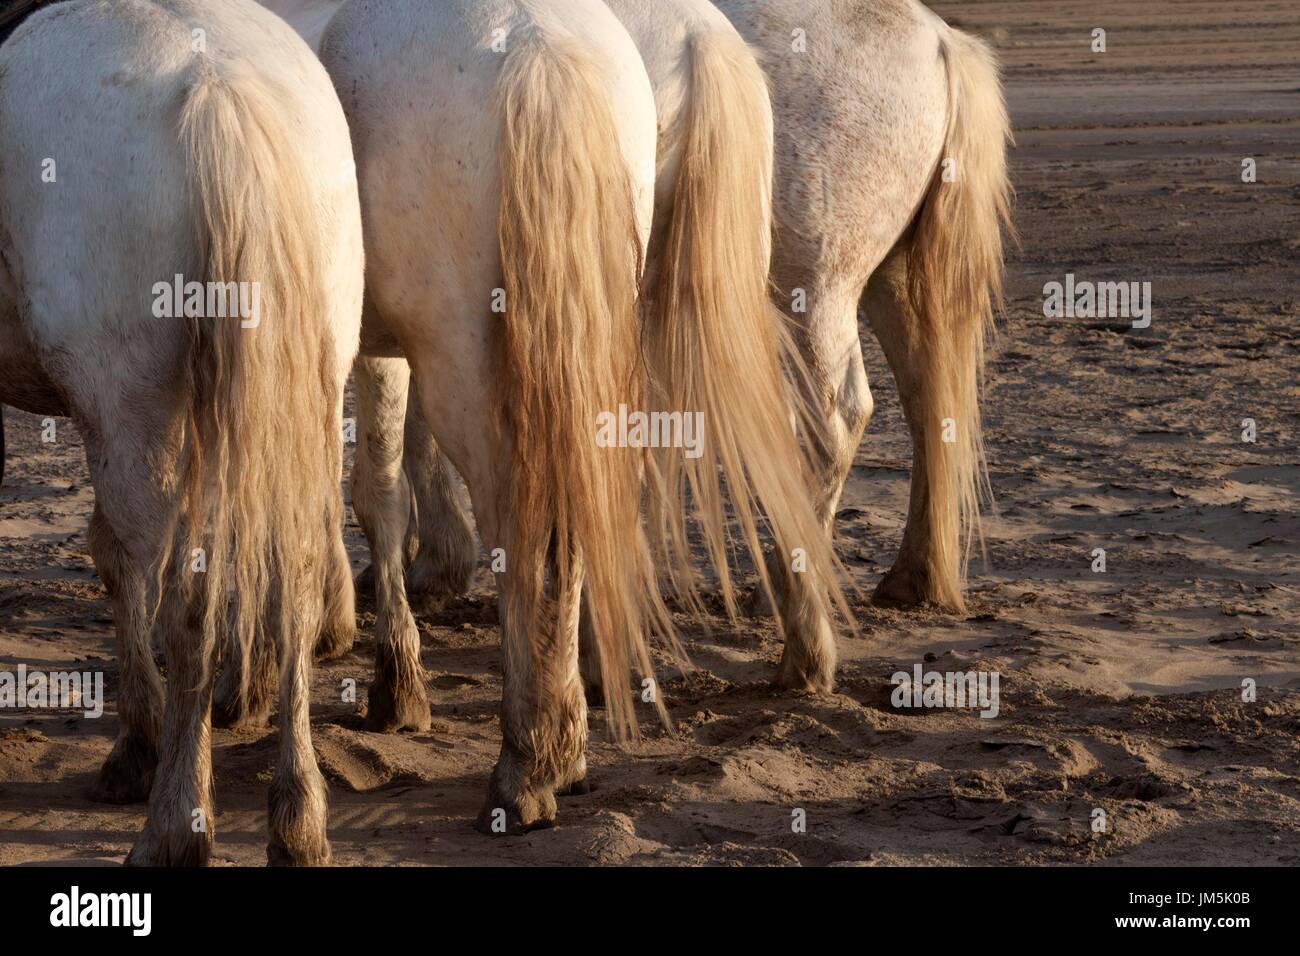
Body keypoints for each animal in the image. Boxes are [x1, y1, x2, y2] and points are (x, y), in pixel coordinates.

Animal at [0, 0, 364, 864]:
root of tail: (215, 88)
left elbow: (118, 564)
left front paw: (138, 743)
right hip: (299, 396)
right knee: (295, 578)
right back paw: (297, 817)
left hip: (135, 414)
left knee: (184, 605)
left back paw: (174, 822)